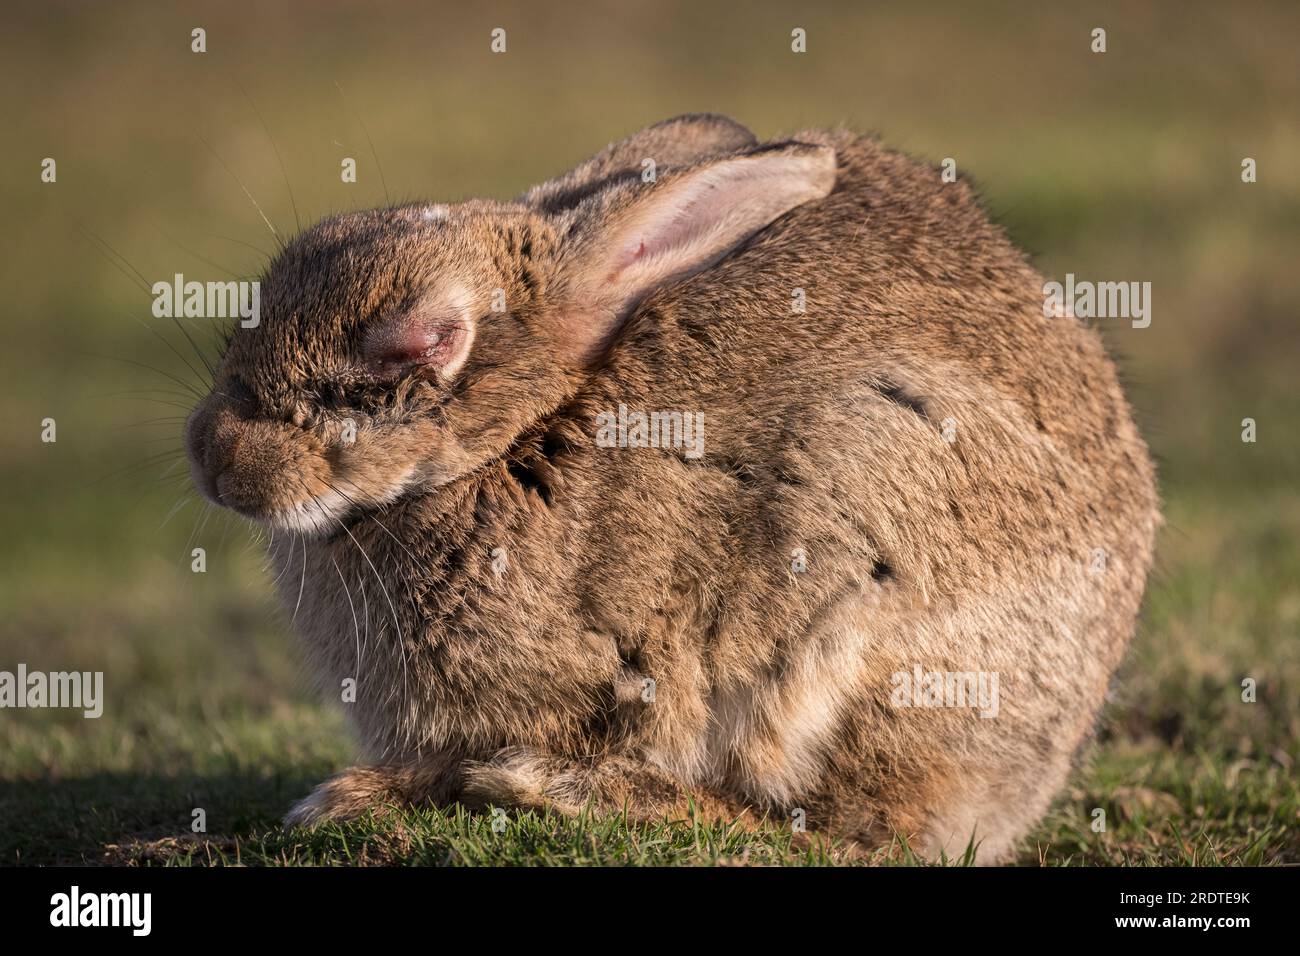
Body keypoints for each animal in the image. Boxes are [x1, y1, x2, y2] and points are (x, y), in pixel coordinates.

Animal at [185, 113, 1159, 863]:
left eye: (416, 345)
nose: (214, 454)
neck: (522, 437)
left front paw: (364, 797)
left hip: (879, 549)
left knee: (855, 830)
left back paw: (561, 787)